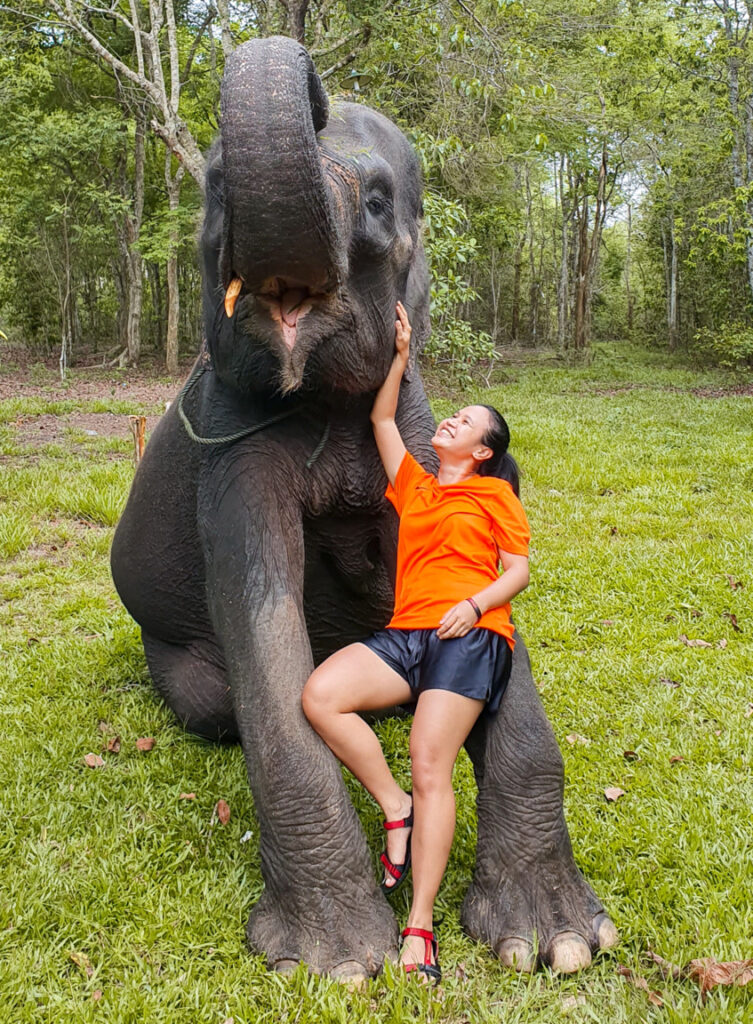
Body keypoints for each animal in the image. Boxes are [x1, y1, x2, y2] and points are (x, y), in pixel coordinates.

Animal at [110, 35, 617, 980]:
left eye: (378, 203)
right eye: (214, 190)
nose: (311, 83)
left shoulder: (413, 432)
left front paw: (559, 941)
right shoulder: (231, 449)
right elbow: (259, 626)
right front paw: (338, 961)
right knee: (213, 702)